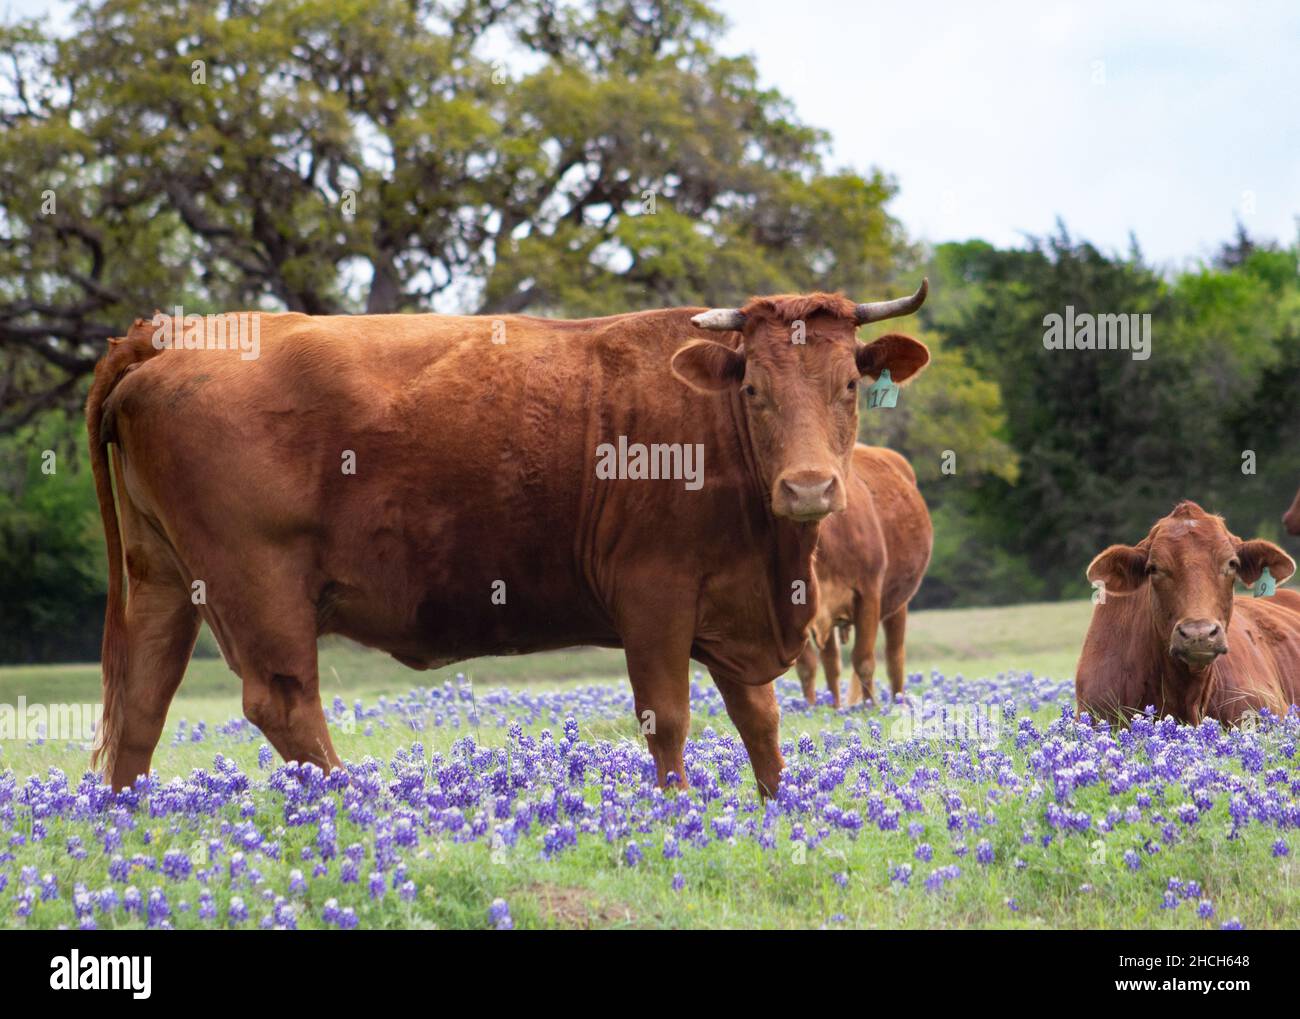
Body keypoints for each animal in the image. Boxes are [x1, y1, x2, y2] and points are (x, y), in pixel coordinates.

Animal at [794, 444, 932, 707]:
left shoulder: (868, 594)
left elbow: (864, 660)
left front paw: (871, 707)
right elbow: (807, 666)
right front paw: (810, 708)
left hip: (899, 603)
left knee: (894, 657)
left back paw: (896, 701)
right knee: (831, 662)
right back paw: (834, 706)